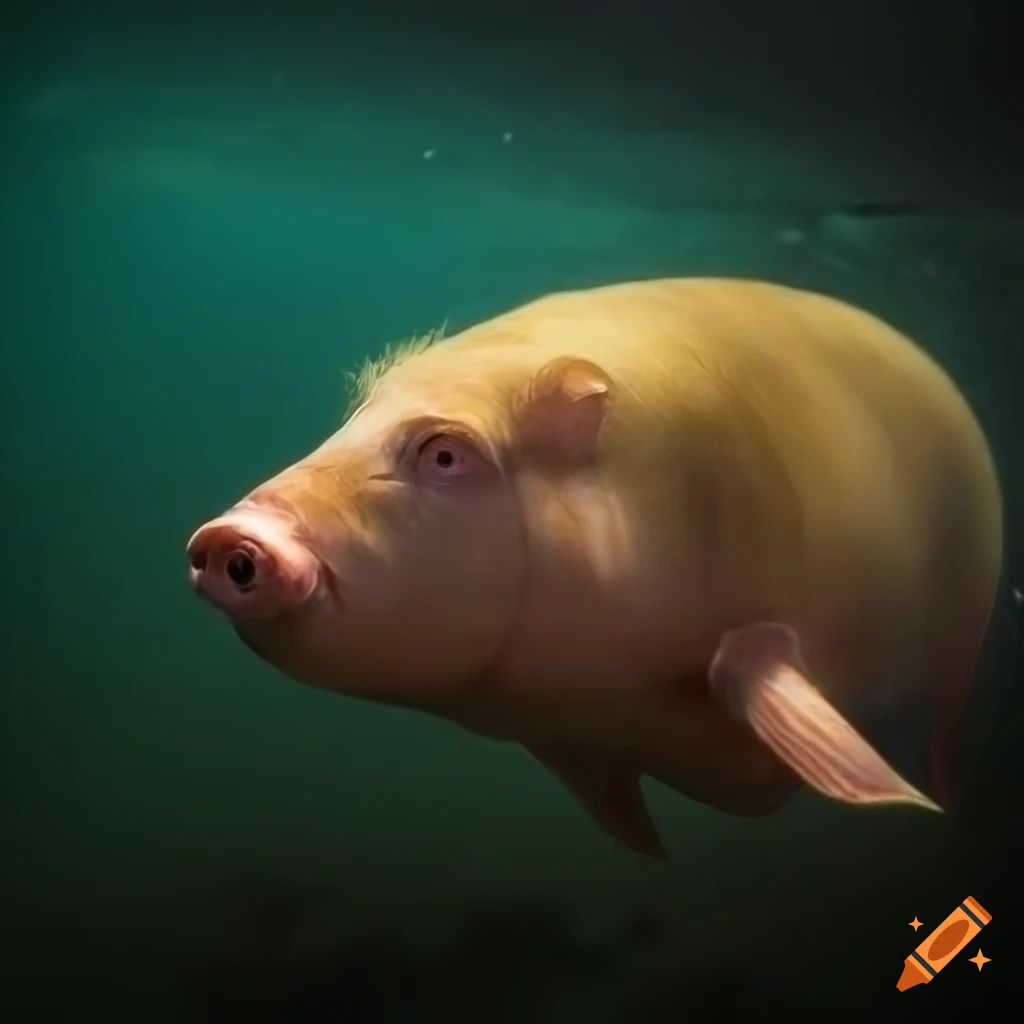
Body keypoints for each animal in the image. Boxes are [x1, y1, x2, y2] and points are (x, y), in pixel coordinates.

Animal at [186, 277, 1003, 860]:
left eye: (445, 454)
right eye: (350, 423)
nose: (227, 539)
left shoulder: (757, 640)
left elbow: (761, 675)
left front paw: (900, 802)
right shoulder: (564, 736)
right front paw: (653, 853)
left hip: (968, 615)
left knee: (948, 708)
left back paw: (948, 798)